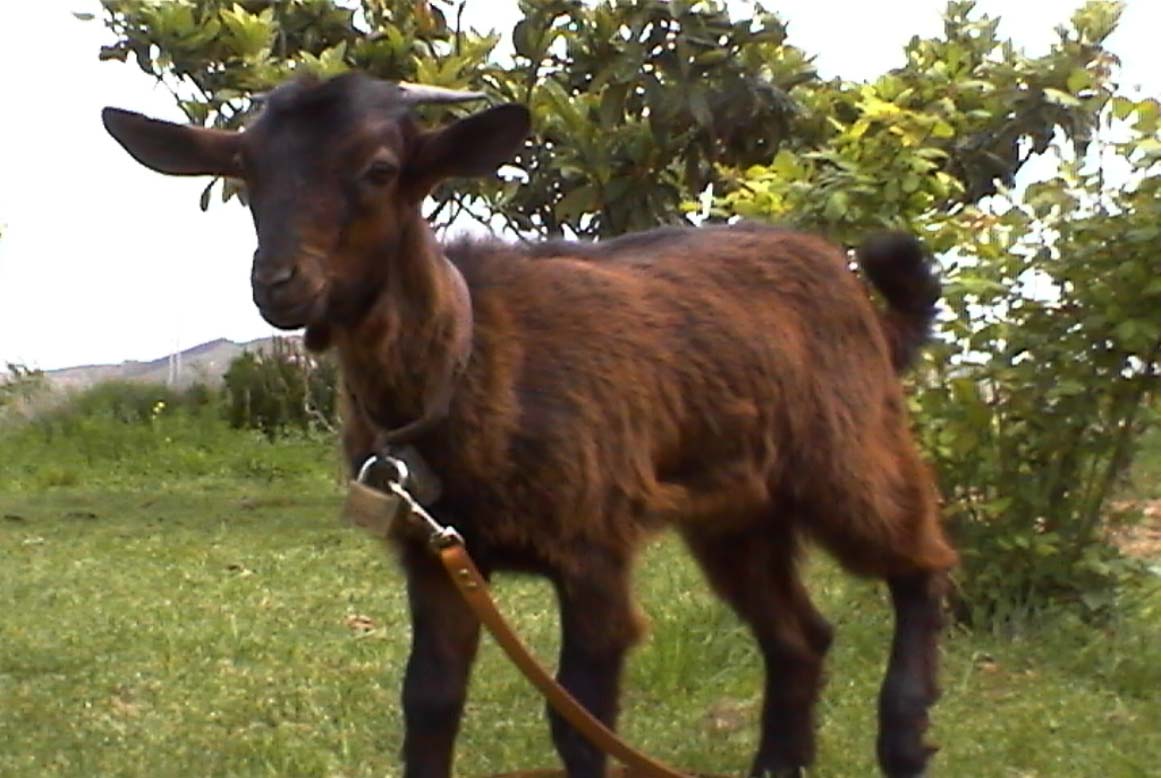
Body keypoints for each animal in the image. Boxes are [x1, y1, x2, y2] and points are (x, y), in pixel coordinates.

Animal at [103, 72, 957, 778]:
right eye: (247, 173)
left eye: (380, 170)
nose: (280, 284)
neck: (465, 359)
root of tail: (862, 301)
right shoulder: (436, 556)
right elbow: (429, 704)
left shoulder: (593, 546)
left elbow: (579, 720)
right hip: (735, 513)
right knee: (799, 637)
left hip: (849, 450)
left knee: (920, 560)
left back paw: (904, 735)